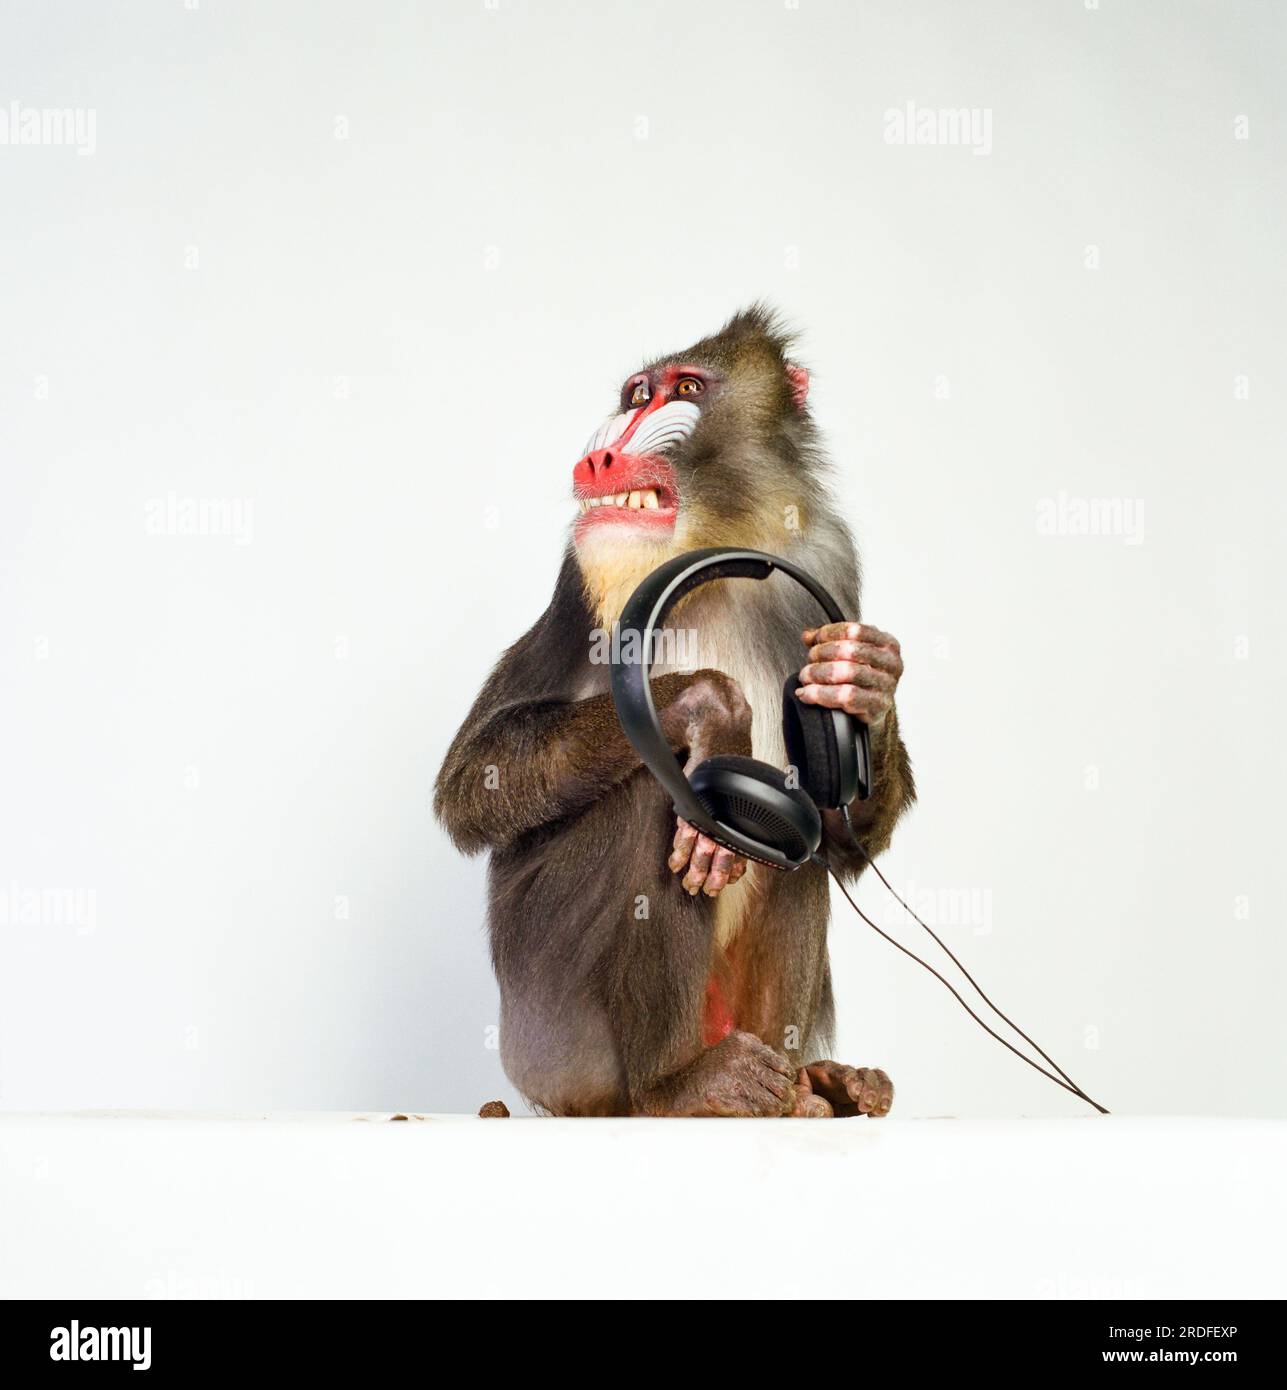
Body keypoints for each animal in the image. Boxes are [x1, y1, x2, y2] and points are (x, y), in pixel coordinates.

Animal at [434, 305, 914, 1118]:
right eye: (637, 394)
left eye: (685, 389)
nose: (603, 459)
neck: (720, 546)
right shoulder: (576, 594)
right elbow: (471, 781)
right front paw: (710, 708)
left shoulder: (829, 563)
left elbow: (844, 834)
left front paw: (865, 681)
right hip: (558, 1046)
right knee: (648, 802)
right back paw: (681, 1088)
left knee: (805, 841)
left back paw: (812, 1090)